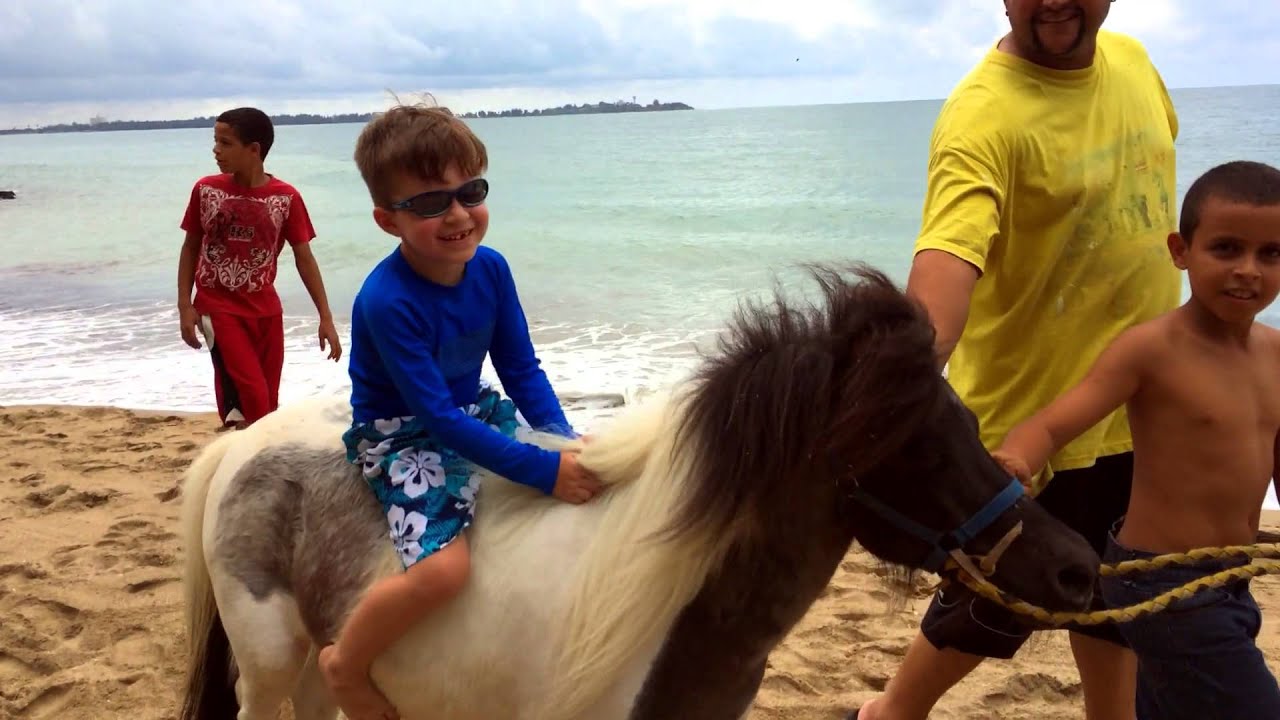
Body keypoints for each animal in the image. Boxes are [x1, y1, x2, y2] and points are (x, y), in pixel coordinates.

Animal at [178, 263, 1099, 720]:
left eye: (969, 422)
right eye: (912, 448)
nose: (1077, 568)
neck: (669, 609)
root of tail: (240, 448)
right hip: (268, 666)